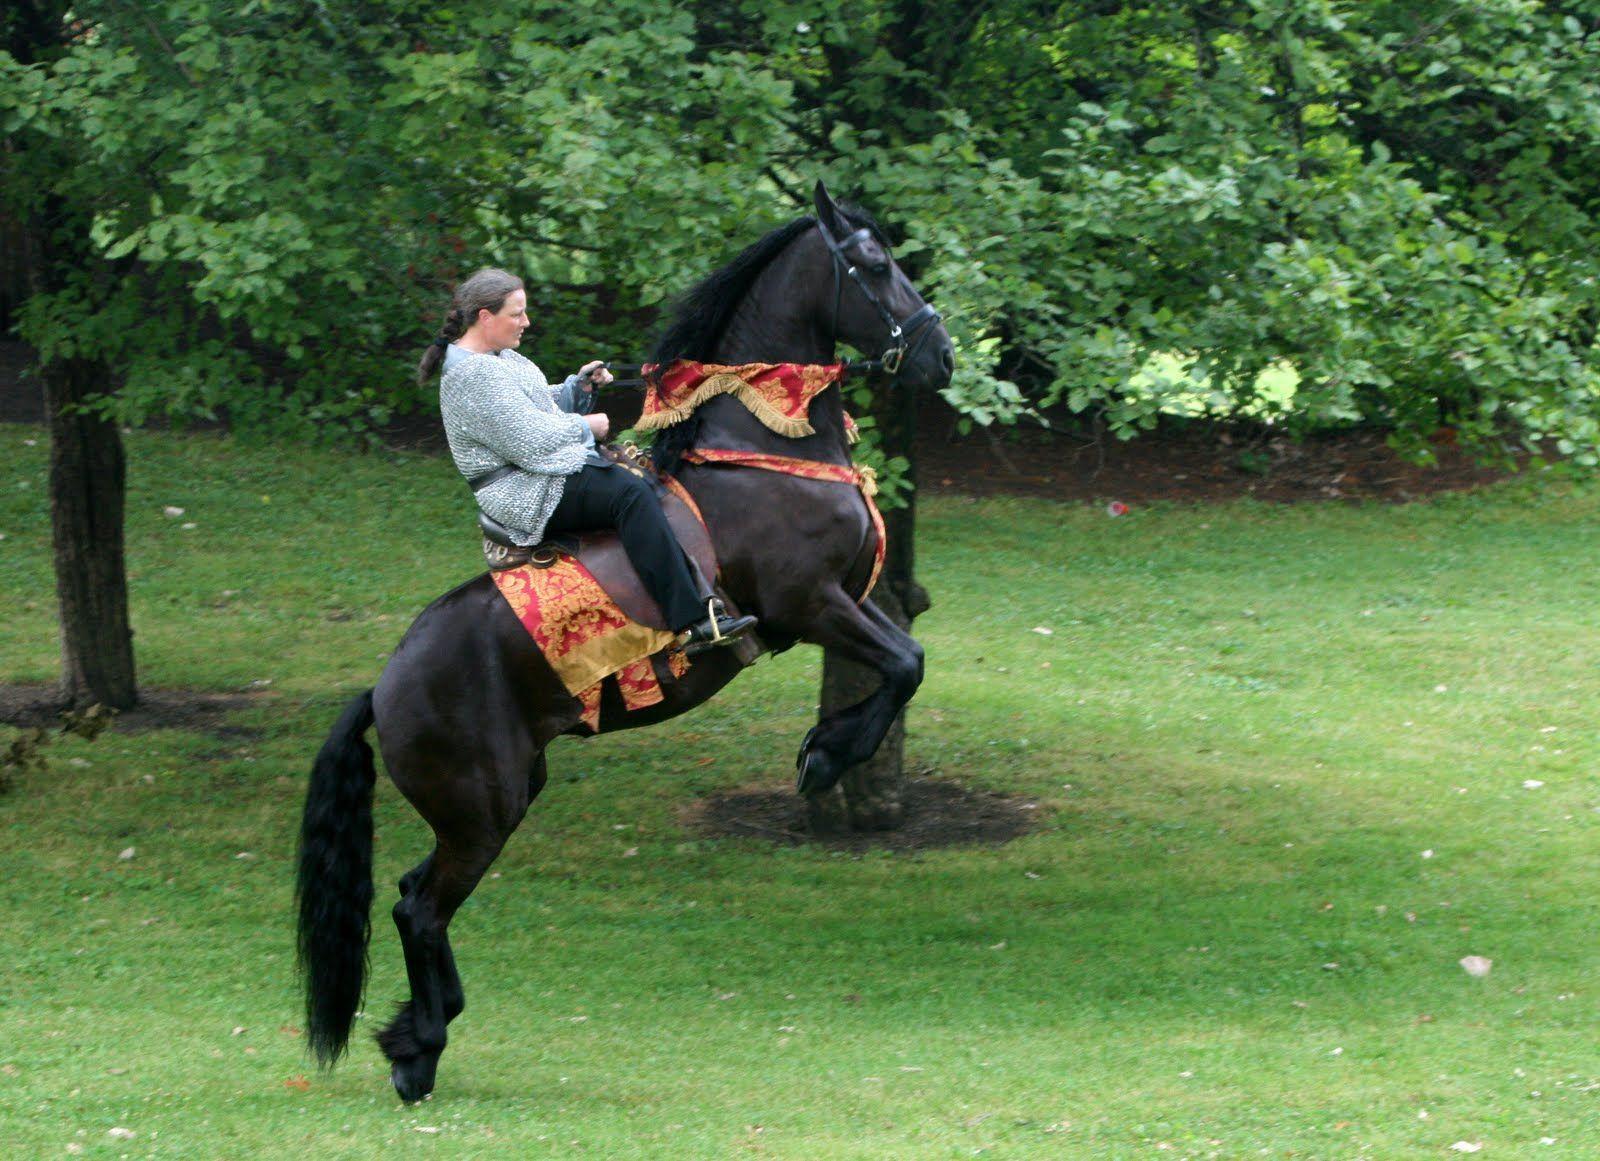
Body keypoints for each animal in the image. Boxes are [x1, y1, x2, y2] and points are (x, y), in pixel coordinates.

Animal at [295, 182, 954, 1102]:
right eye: (872, 262)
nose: (942, 356)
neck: (758, 449)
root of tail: (383, 687)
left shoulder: (847, 605)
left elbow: (904, 660)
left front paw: (828, 749)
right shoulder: (810, 602)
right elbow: (904, 665)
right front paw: (825, 754)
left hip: (498, 798)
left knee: (409, 894)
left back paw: (419, 1034)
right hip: (479, 809)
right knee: (418, 905)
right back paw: (419, 1048)